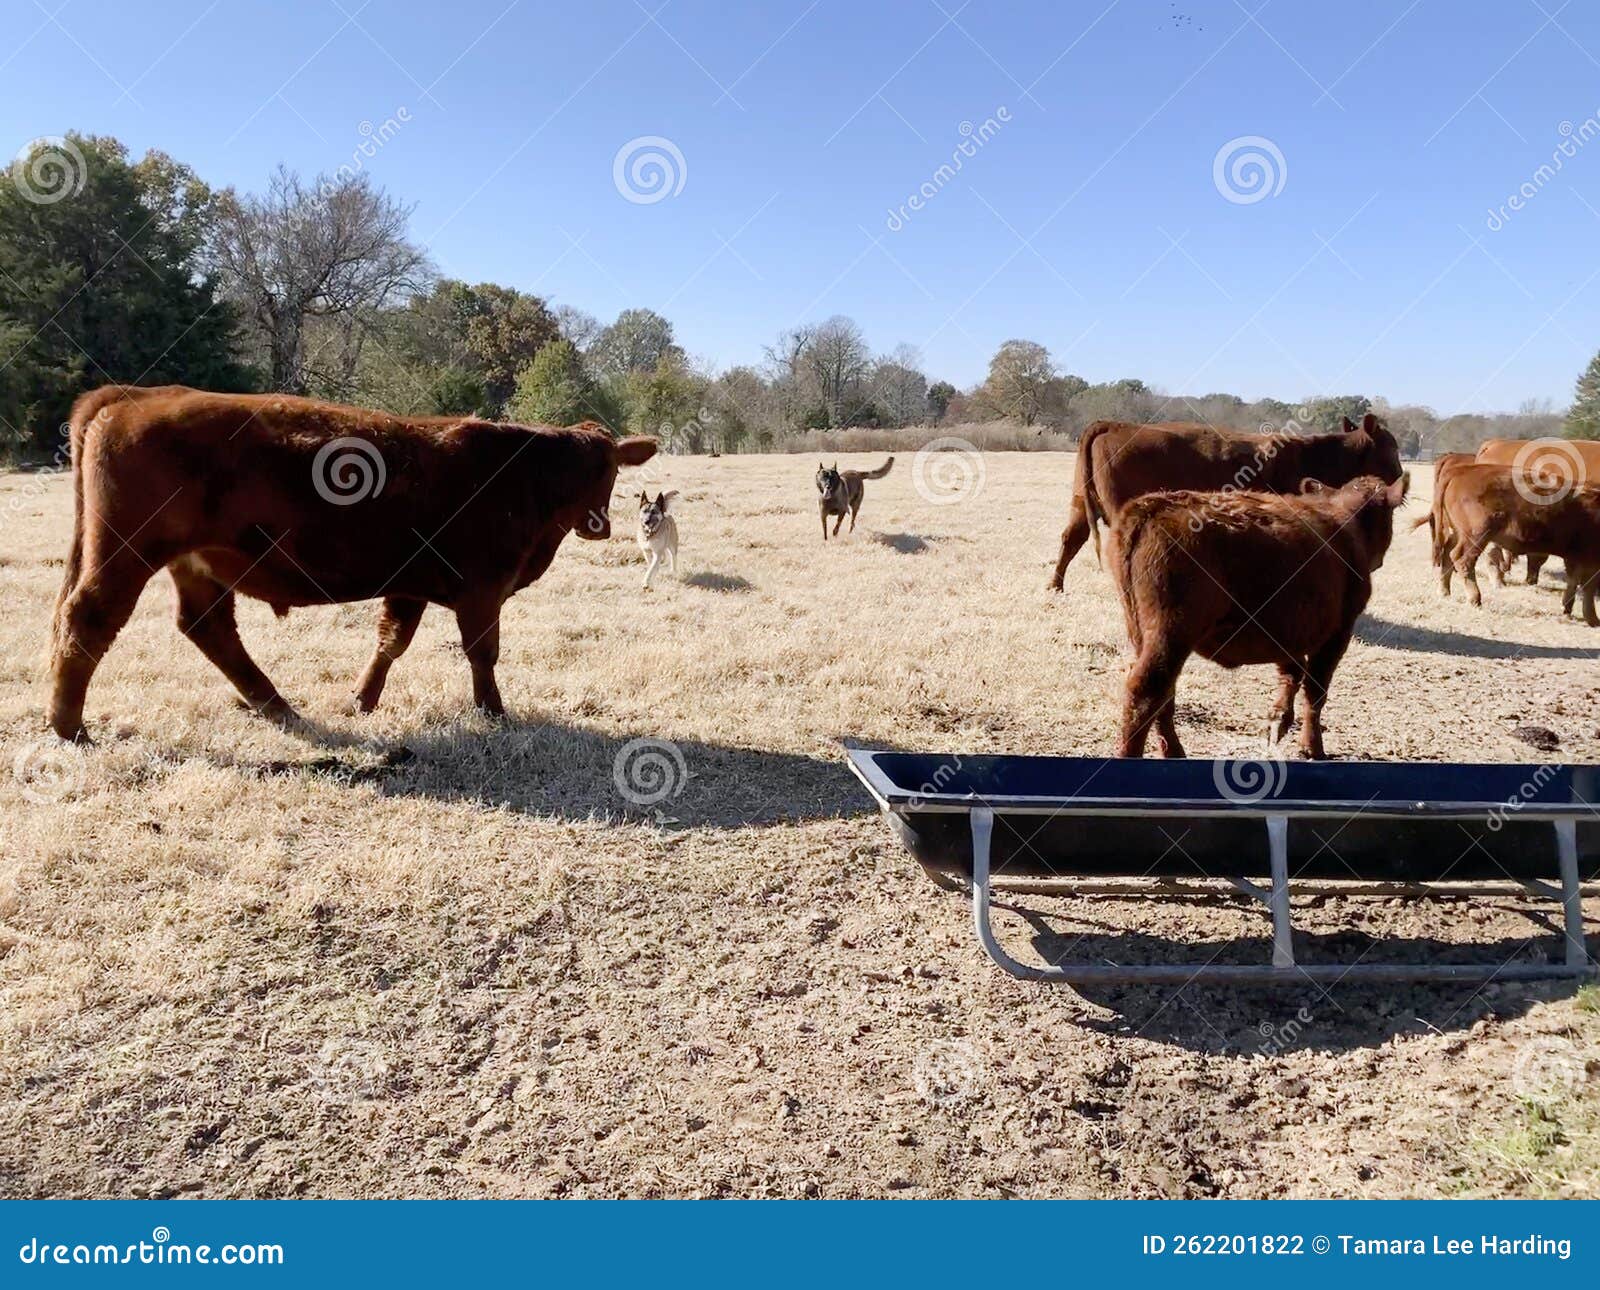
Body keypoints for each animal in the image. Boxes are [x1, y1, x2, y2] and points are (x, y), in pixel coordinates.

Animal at [48, 385, 657, 742]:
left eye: (609, 470)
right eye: (592, 473)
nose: (599, 526)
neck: (524, 475)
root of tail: (135, 395)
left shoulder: (410, 585)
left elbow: (391, 642)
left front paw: (362, 700)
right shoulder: (483, 588)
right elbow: (483, 653)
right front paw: (493, 711)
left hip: (194, 564)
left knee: (208, 628)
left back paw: (278, 708)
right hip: (126, 553)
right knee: (88, 620)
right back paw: (69, 725)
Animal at [1048, 413, 1403, 591]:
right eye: (1393, 447)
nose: (1402, 477)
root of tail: (1114, 424)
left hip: (1079, 503)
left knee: (1071, 538)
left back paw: (1056, 586)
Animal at [1108, 475, 1408, 760]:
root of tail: (1152, 506)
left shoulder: (1291, 633)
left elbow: (1291, 673)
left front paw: (1278, 721)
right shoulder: (1338, 633)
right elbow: (1315, 691)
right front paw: (1311, 747)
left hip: (1141, 632)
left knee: (1163, 695)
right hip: (1170, 634)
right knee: (1146, 690)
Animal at [1435, 461, 1600, 626]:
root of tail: (1462, 470)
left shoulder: (1576, 557)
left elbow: (1573, 581)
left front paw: (1567, 609)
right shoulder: (1590, 559)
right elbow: (1588, 587)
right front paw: (1592, 618)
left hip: (1459, 533)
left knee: (1448, 553)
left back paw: (1445, 591)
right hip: (1476, 535)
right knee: (1462, 560)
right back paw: (1475, 599)